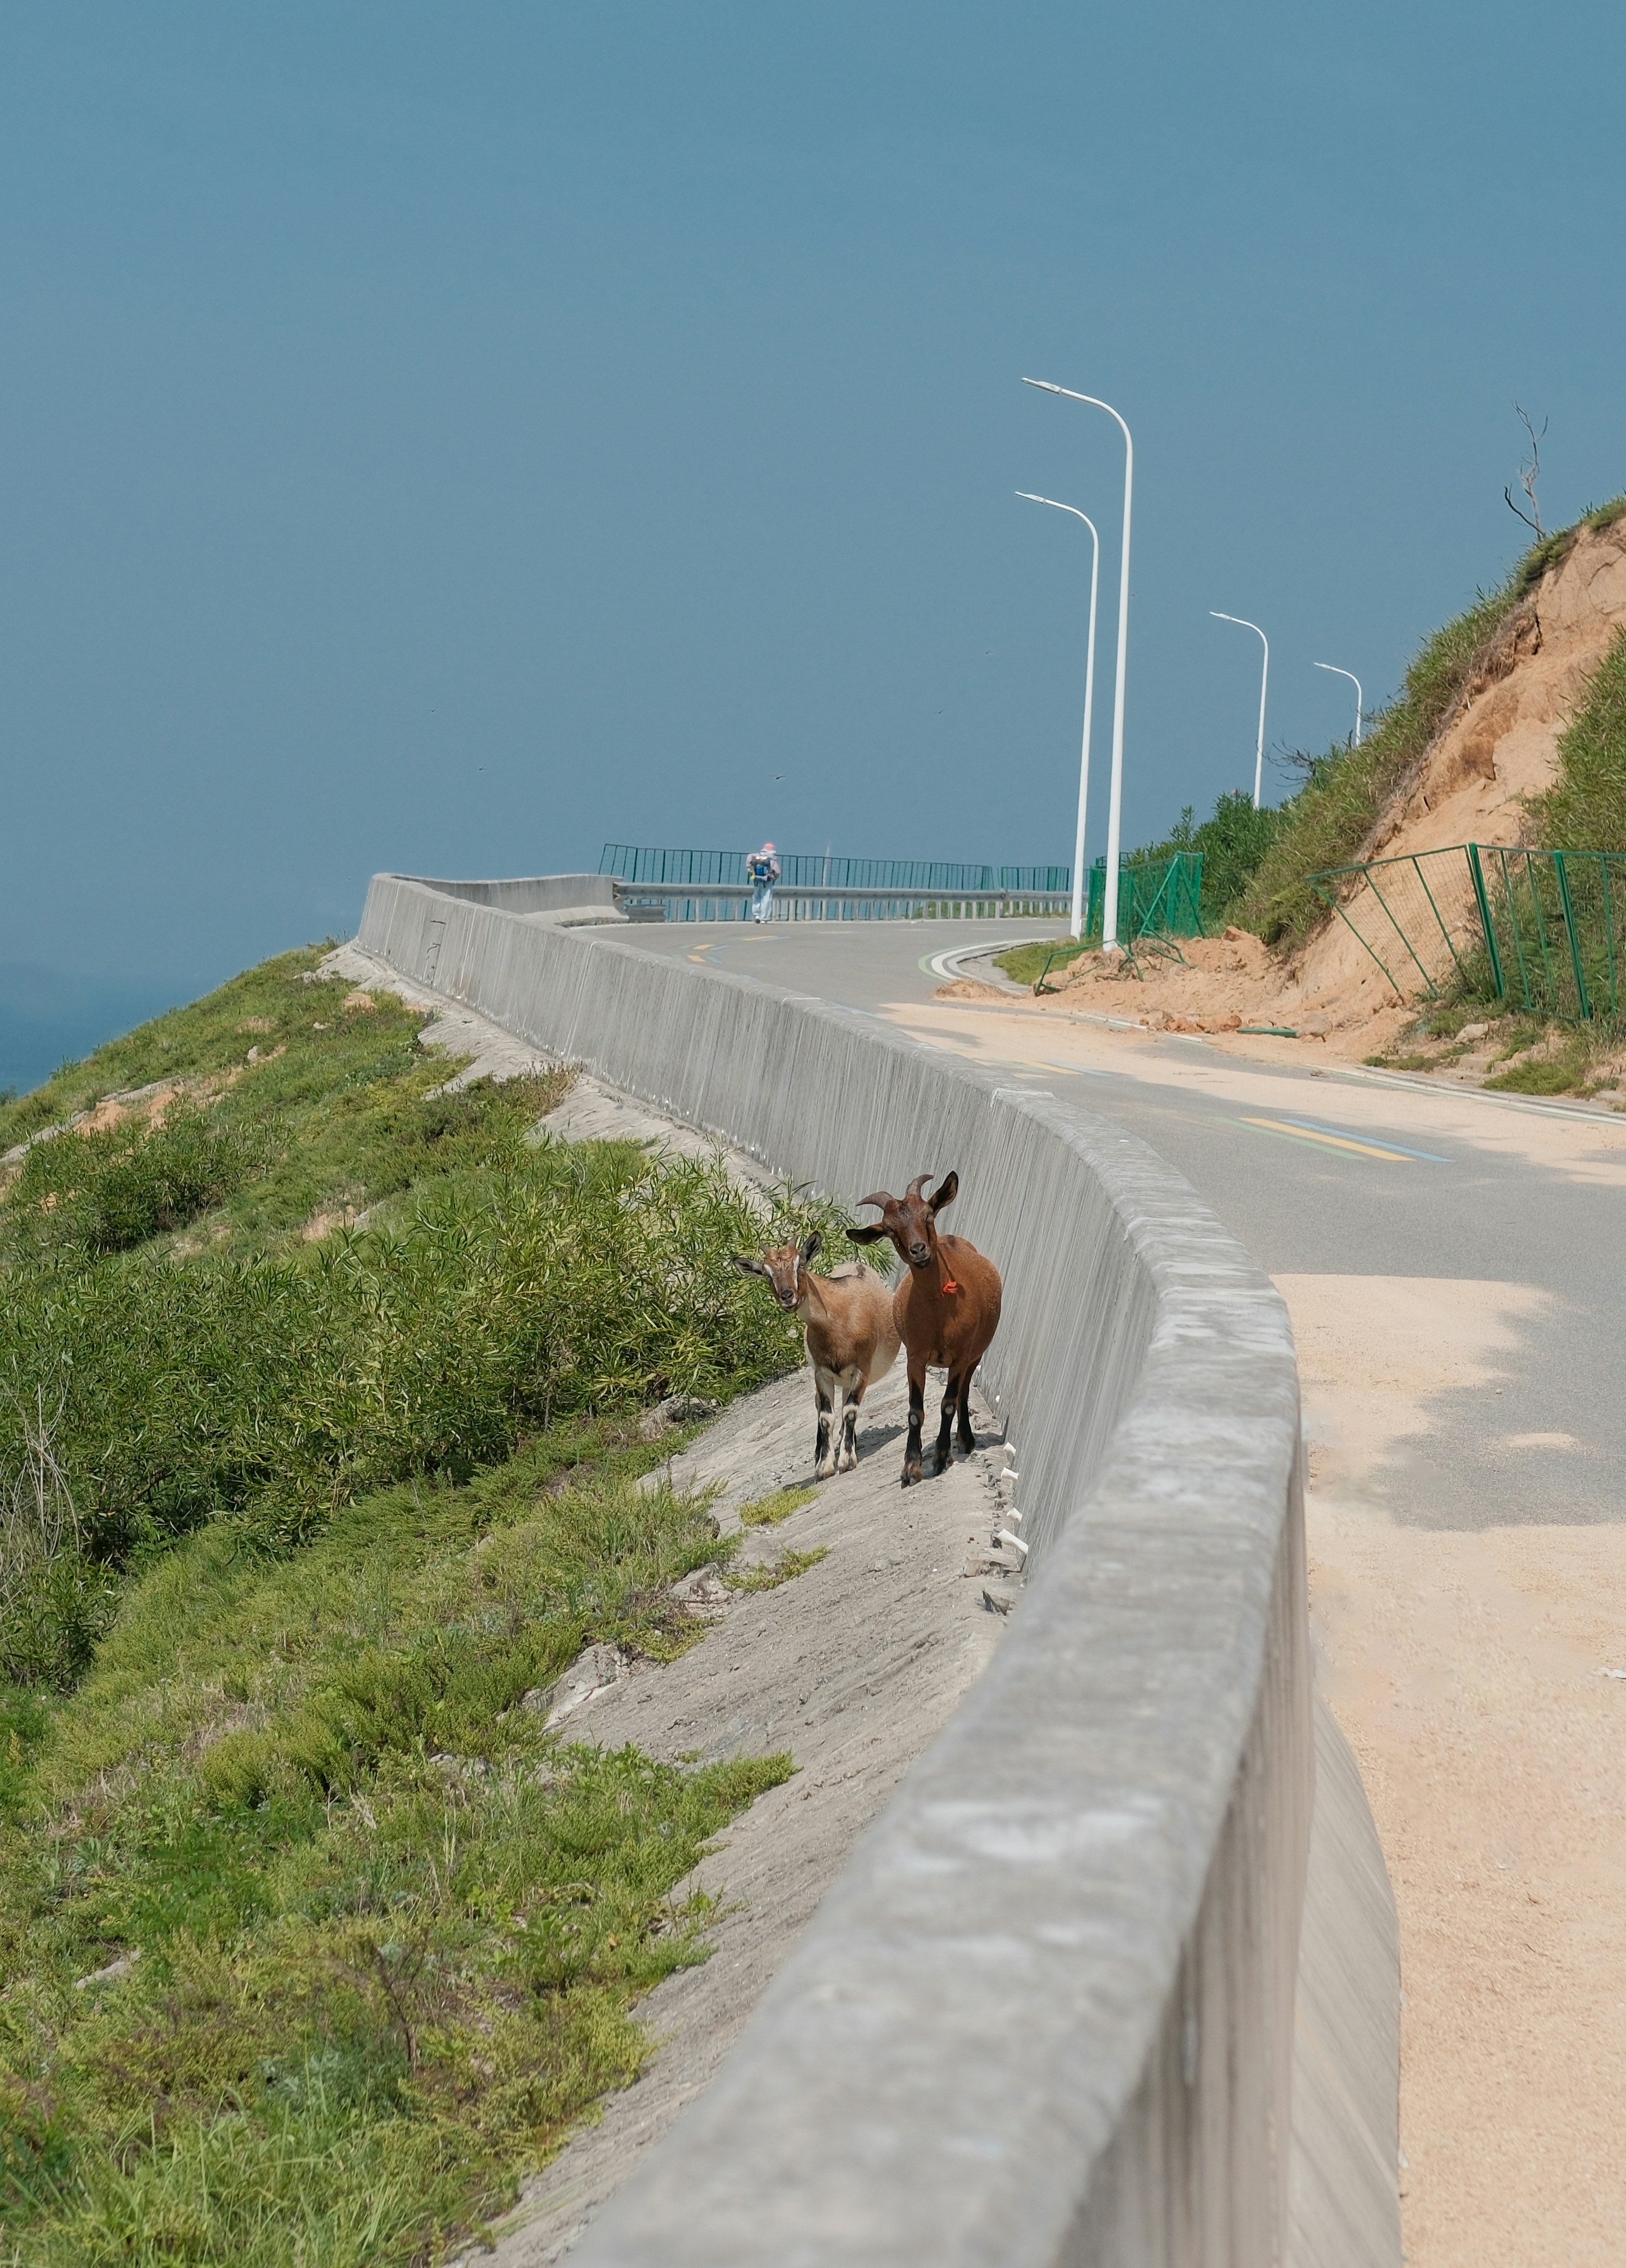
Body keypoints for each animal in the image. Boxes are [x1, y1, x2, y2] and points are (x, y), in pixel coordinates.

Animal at [731, 1231, 901, 1478]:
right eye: (766, 1274)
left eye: (800, 1264)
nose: (787, 1296)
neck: (837, 1322)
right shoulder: (822, 1373)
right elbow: (826, 1416)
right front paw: (825, 1466)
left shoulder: (862, 1368)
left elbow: (850, 1410)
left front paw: (847, 1461)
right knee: (821, 1405)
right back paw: (823, 1450)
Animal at [848, 1172, 1001, 1487]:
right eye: (890, 1230)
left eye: (928, 1214)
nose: (919, 1251)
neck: (939, 1316)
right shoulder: (915, 1357)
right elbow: (915, 1412)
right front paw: (911, 1467)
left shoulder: (960, 1356)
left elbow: (948, 1403)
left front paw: (941, 1459)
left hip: (976, 1354)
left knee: (963, 1392)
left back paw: (965, 1440)